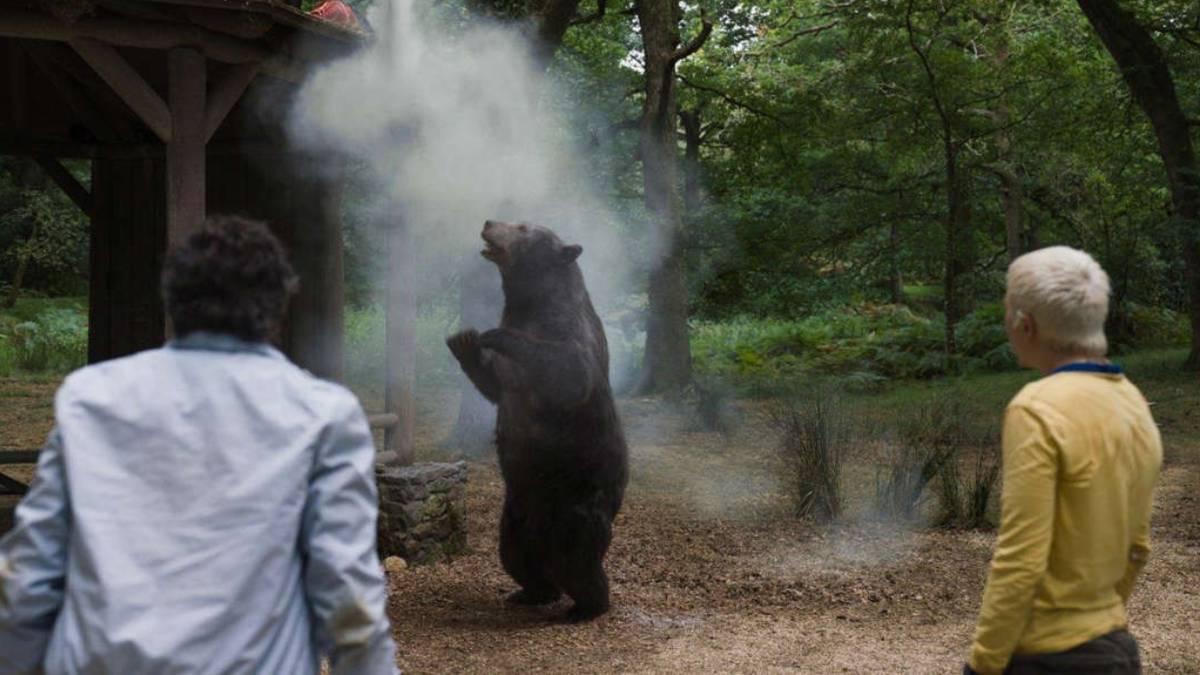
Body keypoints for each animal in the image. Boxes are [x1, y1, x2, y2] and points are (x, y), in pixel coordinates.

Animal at [446, 219, 629, 622]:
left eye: (522, 226)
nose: (488, 223)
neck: (530, 303)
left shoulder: (569, 335)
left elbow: (567, 371)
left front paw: (491, 334)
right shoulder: (508, 375)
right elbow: (494, 385)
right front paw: (464, 340)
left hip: (574, 507)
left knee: (578, 562)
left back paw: (586, 607)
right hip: (515, 512)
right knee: (515, 555)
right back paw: (530, 592)